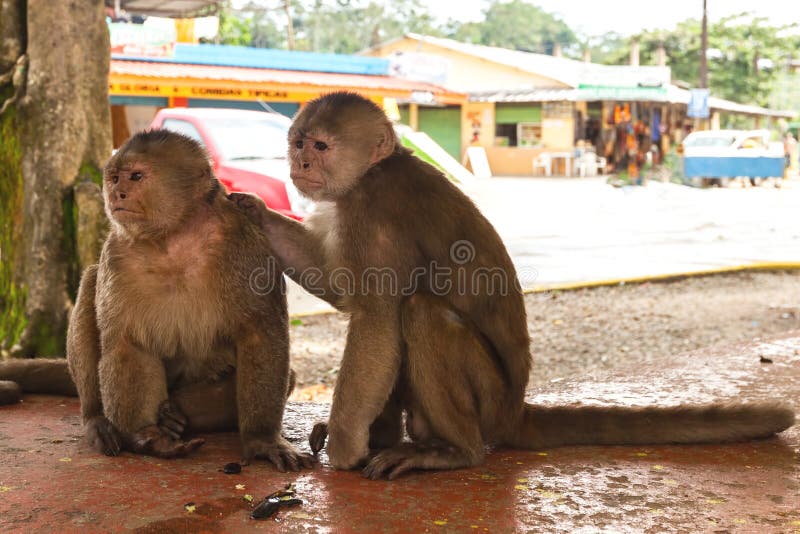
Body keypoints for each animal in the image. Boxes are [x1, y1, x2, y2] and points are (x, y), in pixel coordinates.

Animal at [0, 130, 314, 470]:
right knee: (90, 283)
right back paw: (102, 419)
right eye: (114, 178)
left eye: (136, 177)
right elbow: (129, 342)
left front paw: (261, 439)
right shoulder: (119, 254)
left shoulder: (245, 245)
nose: (118, 193)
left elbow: (261, 336)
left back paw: (178, 413)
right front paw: (149, 437)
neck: (174, 238)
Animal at [231, 91, 795, 480]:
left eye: (320, 146)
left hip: (490, 399)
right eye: (297, 143)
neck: (373, 172)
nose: (300, 163)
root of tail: (514, 409)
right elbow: (343, 290)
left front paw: (347, 448)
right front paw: (251, 208)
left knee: (418, 312)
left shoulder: (374, 211)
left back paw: (454, 451)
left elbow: (374, 319)